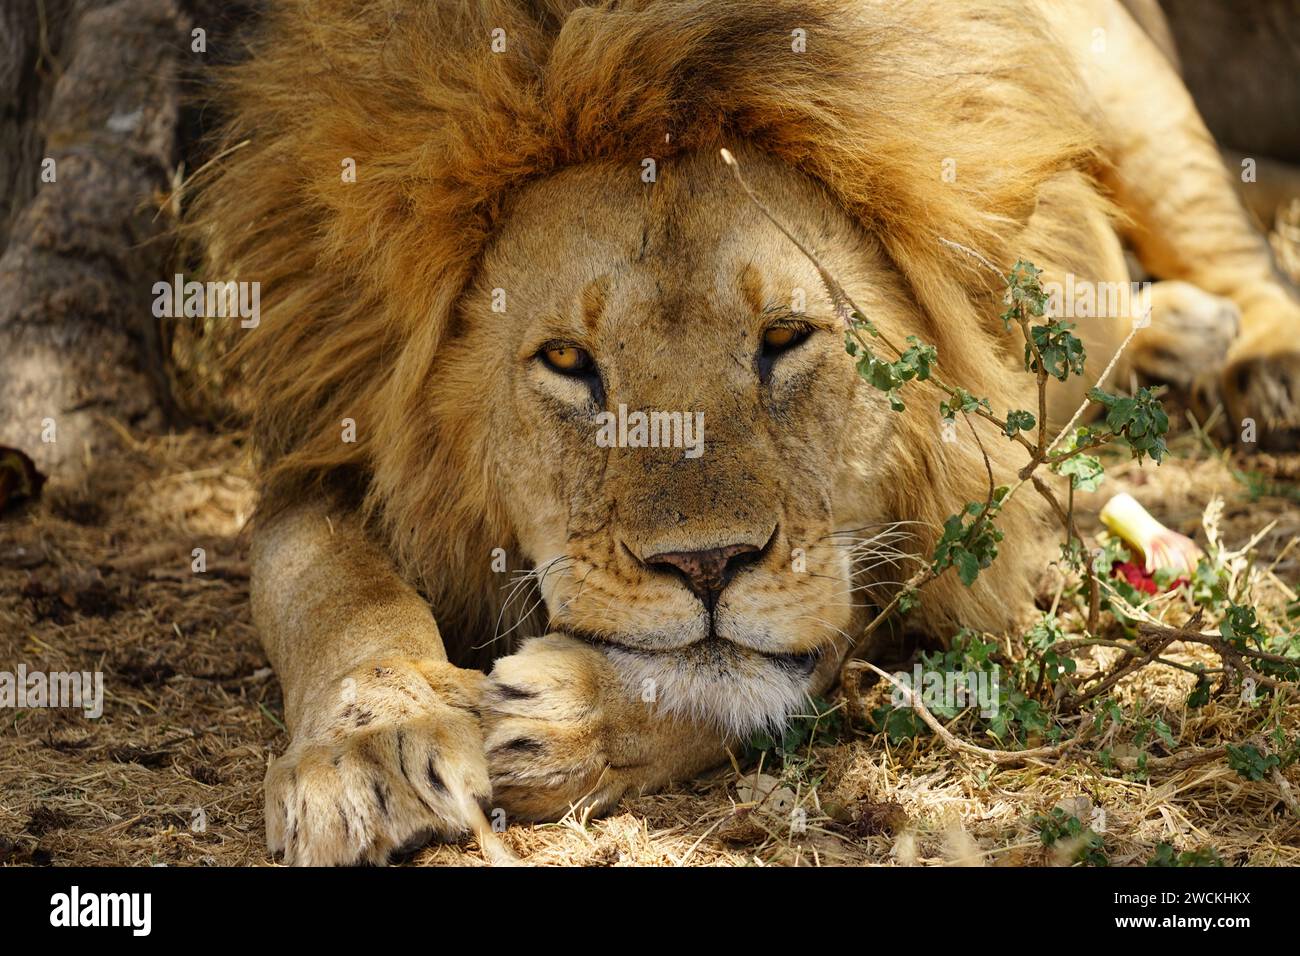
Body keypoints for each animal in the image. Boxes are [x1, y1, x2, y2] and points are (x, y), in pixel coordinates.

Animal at [193, 0, 1300, 864]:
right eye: (568, 361)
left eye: (783, 338)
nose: (708, 562)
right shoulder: (328, 442)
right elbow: (335, 594)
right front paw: (370, 746)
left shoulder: (897, 540)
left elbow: (744, 673)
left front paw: (566, 720)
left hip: (1129, 98)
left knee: (1229, 241)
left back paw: (1256, 356)